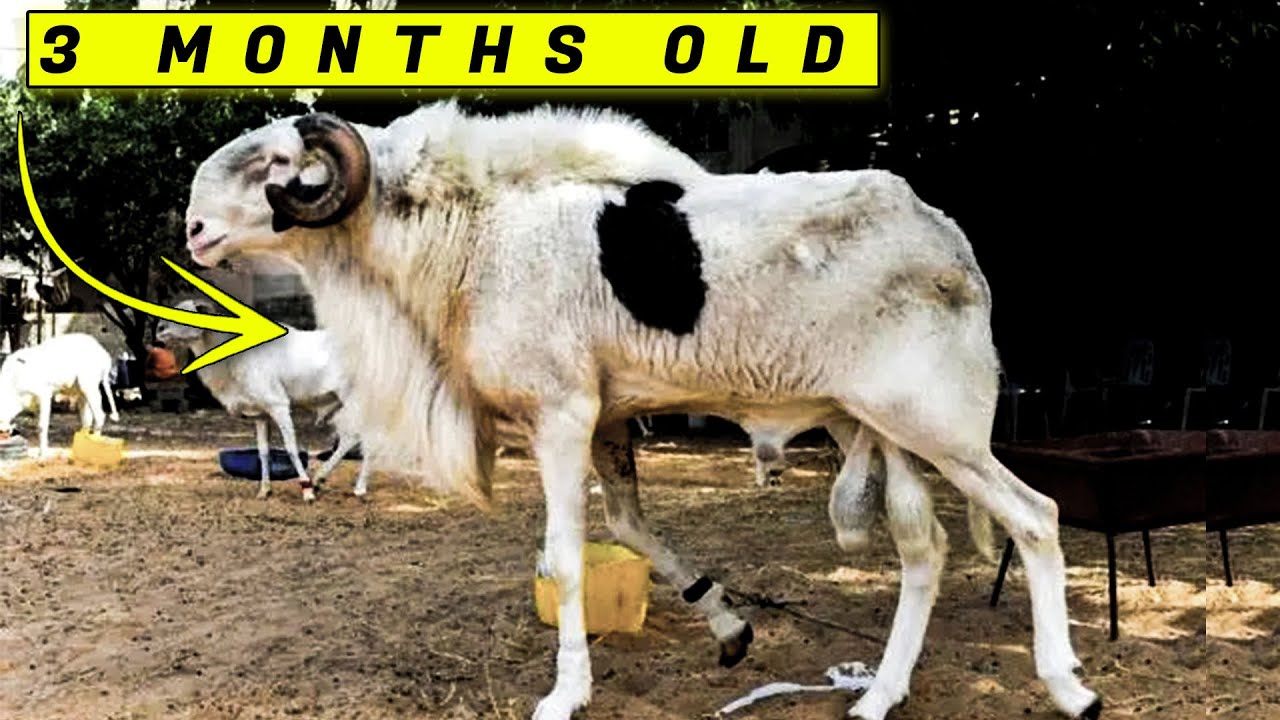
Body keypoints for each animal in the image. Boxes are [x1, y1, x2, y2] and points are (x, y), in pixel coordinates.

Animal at [155, 300, 367, 502]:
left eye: (188, 311)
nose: (159, 329)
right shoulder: (261, 415)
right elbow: (263, 452)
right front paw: (265, 490)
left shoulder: (278, 405)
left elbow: (291, 448)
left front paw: (307, 492)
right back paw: (328, 481)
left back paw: (349, 486)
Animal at [181, 101, 1097, 720]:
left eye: (273, 164)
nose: (191, 230)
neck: (468, 228)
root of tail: (949, 240)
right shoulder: (610, 422)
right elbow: (630, 529)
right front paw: (728, 628)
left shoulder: (560, 416)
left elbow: (564, 560)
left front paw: (566, 694)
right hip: (880, 430)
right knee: (924, 550)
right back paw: (880, 695)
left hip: (942, 427)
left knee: (1036, 516)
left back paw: (1067, 685)